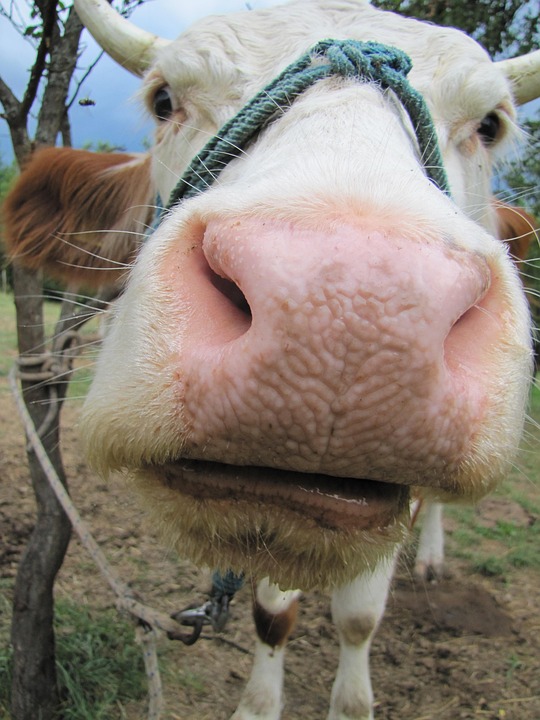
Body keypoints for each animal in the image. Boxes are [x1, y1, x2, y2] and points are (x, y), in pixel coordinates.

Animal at [4, 0, 540, 718]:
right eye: (164, 99)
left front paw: (352, 700)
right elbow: (272, 615)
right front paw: (259, 702)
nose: (346, 309)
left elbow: (358, 619)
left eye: (490, 124)